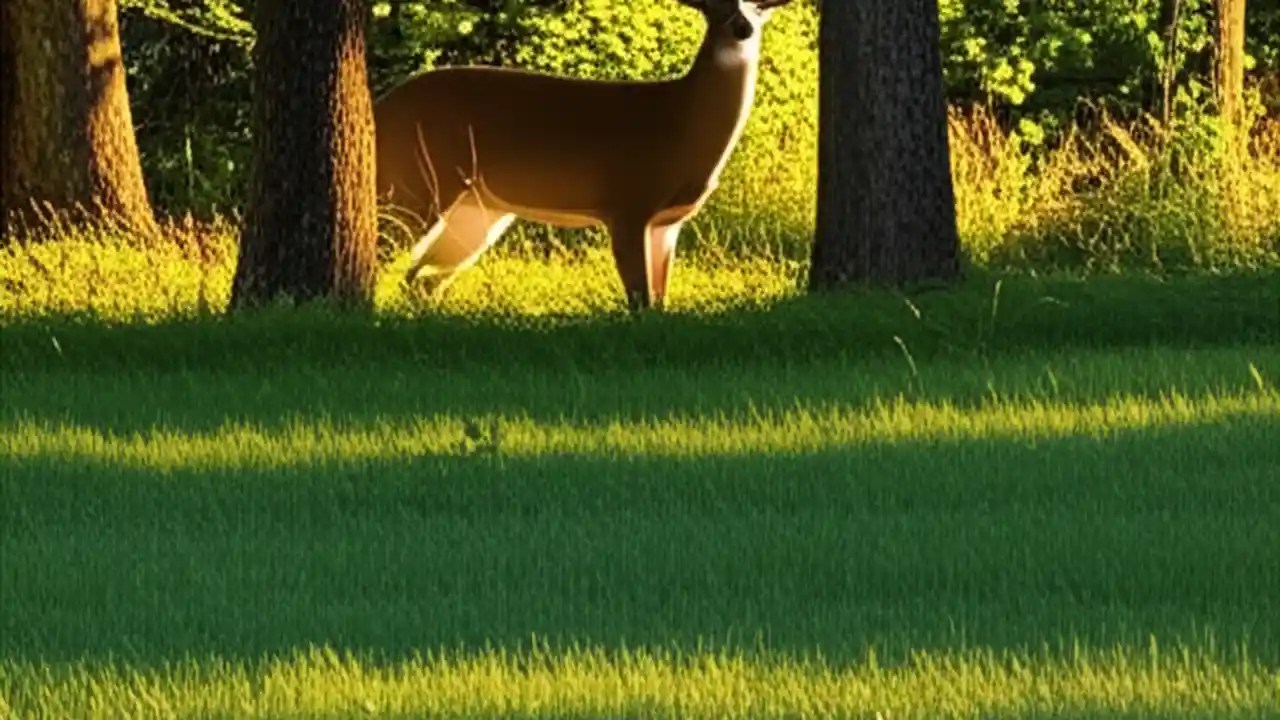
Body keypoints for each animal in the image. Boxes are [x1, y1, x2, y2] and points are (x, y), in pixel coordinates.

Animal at [373, 0, 794, 311]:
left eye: (758, 7)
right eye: (713, 6)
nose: (742, 26)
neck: (679, 127)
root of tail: (380, 108)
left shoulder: (668, 221)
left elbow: (660, 298)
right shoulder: (628, 202)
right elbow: (640, 299)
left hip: (476, 210)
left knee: (420, 278)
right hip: (415, 175)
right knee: (387, 249)